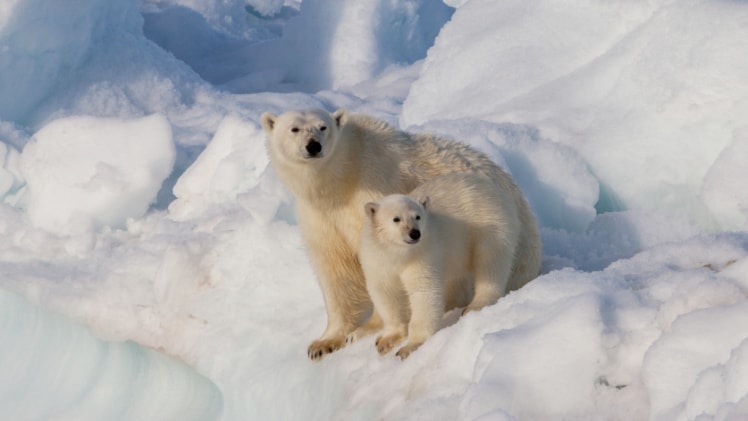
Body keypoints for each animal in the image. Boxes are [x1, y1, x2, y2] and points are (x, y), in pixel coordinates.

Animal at [359, 173, 523, 359]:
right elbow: (386, 294)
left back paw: (475, 305)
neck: (398, 255)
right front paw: (385, 341)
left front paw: (409, 347)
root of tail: (498, 191)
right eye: (396, 219)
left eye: (418, 216)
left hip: (491, 225)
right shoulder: (376, 261)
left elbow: (423, 292)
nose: (414, 233)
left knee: (490, 263)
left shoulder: (422, 255)